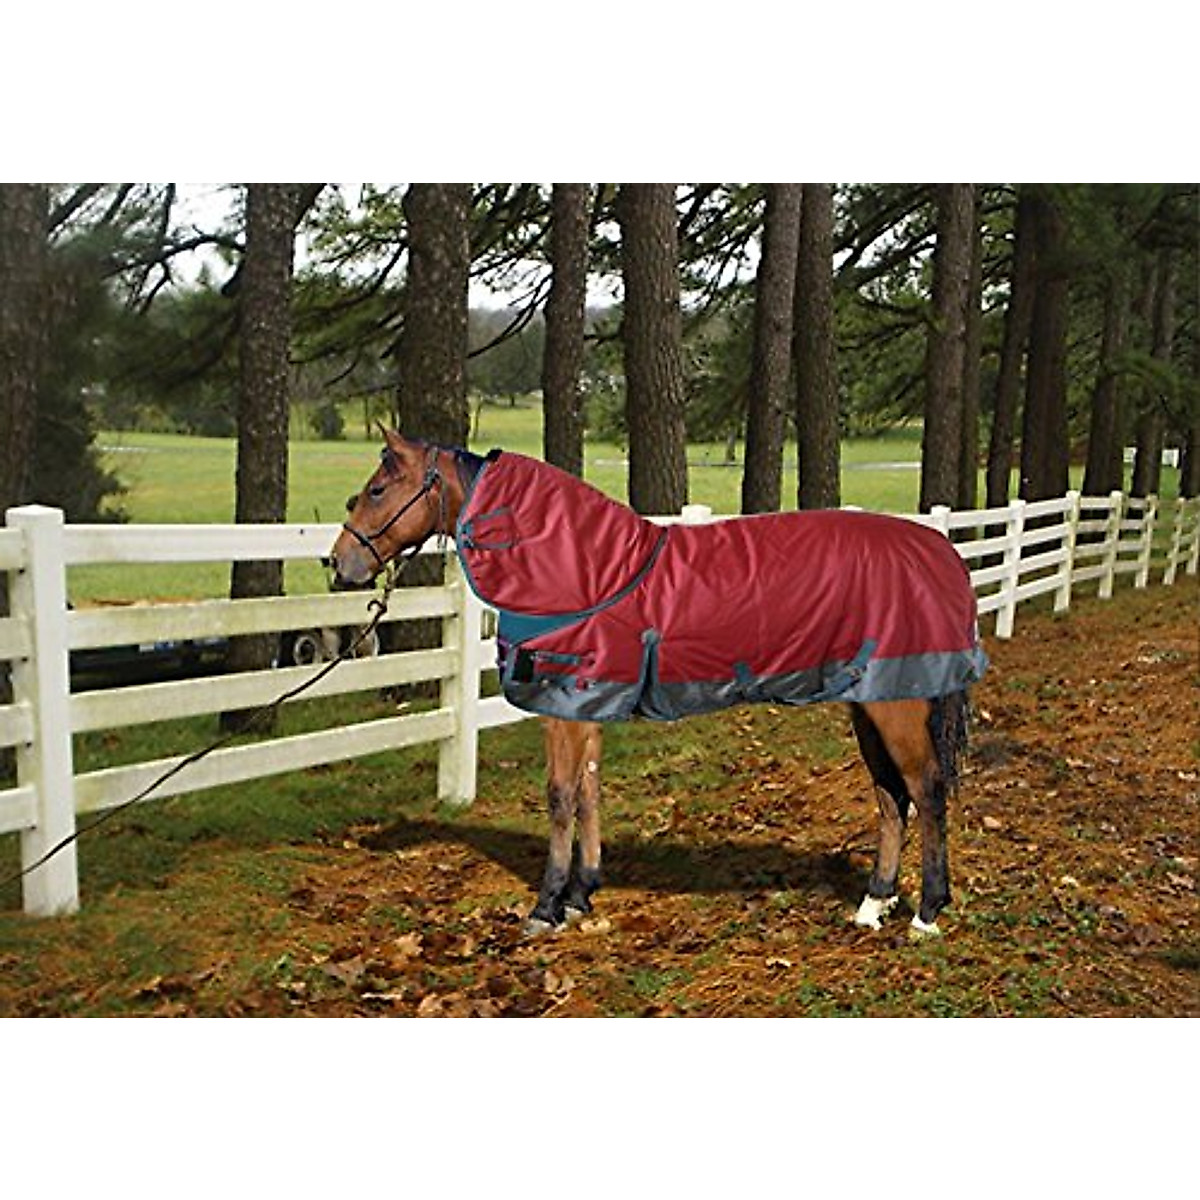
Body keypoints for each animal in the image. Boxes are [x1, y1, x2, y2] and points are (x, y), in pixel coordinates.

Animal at [329, 429, 988, 938]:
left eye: (378, 489)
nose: (338, 564)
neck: (586, 571)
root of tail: (938, 552)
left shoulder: (563, 707)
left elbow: (561, 796)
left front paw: (546, 906)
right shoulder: (587, 707)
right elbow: (589, 790)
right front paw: (581, 894)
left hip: (898, 704)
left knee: (926, 790)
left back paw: (928, 911)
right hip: (869, 701)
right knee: (890, 796)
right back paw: (874, 902)